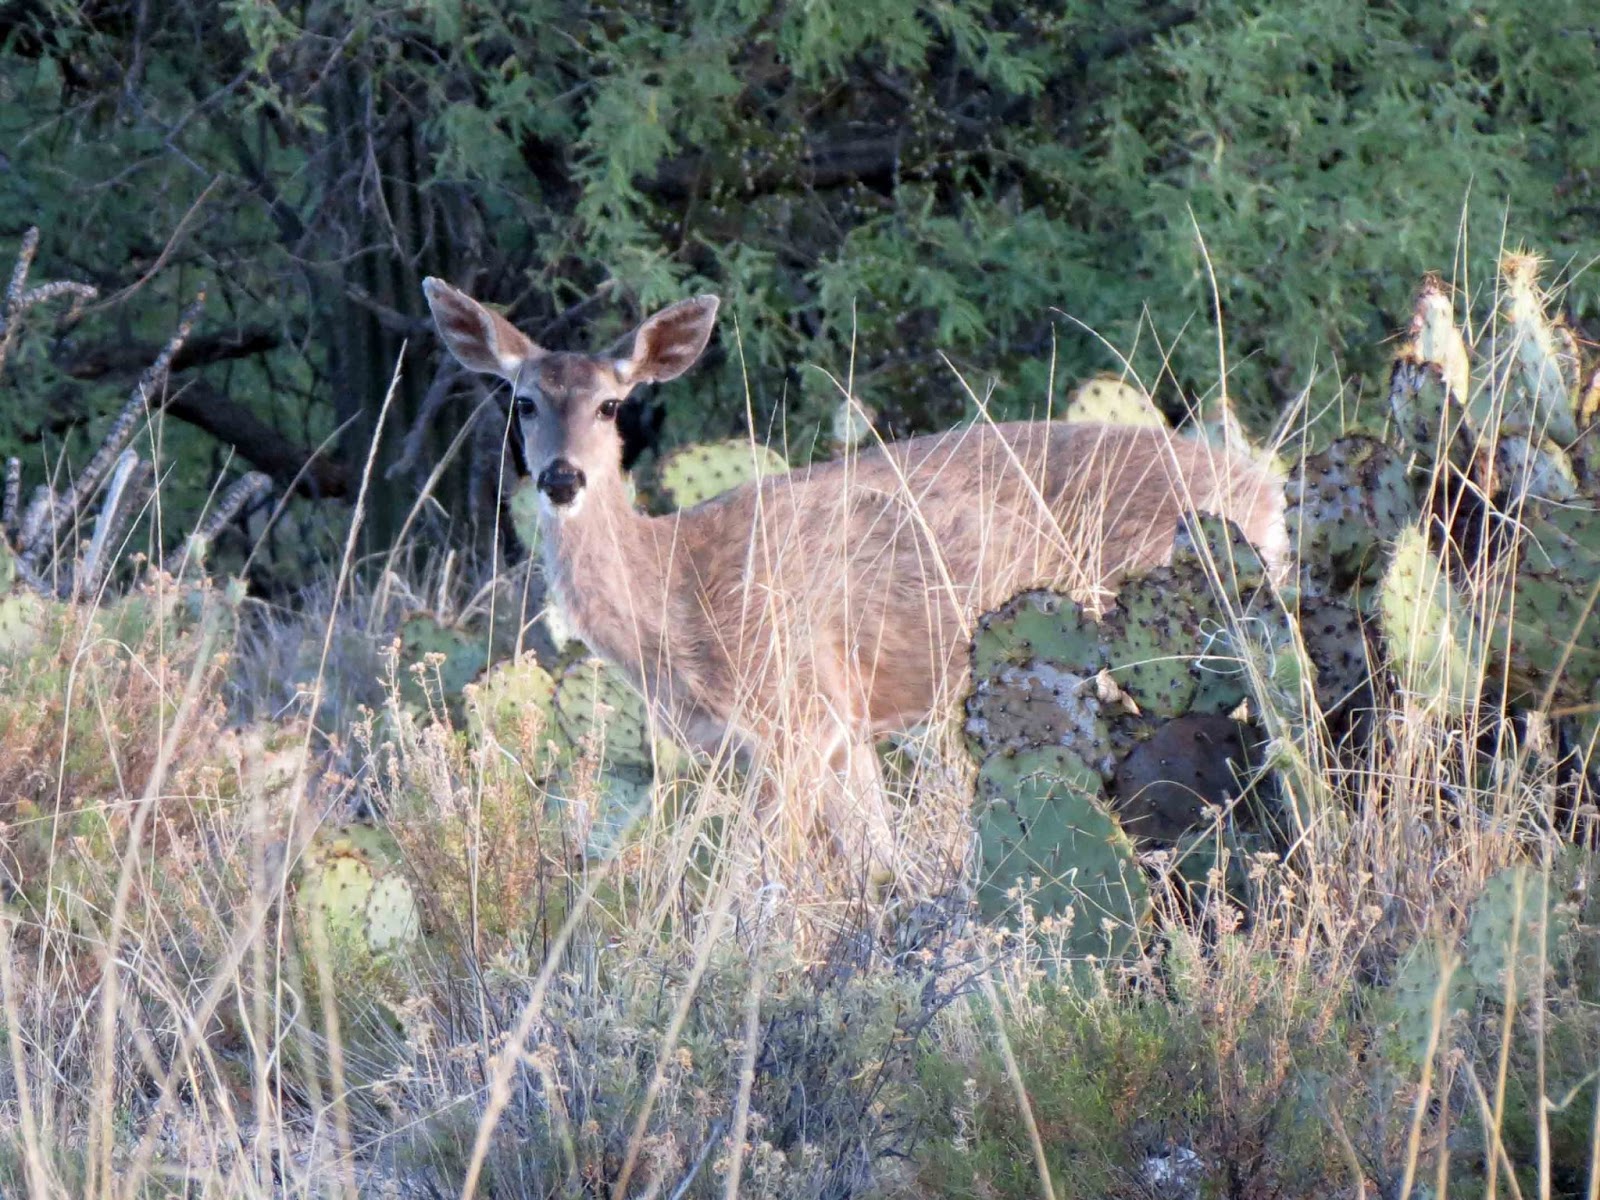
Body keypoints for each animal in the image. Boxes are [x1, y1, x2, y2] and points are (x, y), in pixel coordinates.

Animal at [422, 279, 1288, 888]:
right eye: (523, 401)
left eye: (611, 404)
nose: (562, 478)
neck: (676, 592)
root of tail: (1270, 492)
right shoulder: (843, 726)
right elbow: (879, 859)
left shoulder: (796, 704)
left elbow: (754, 880)